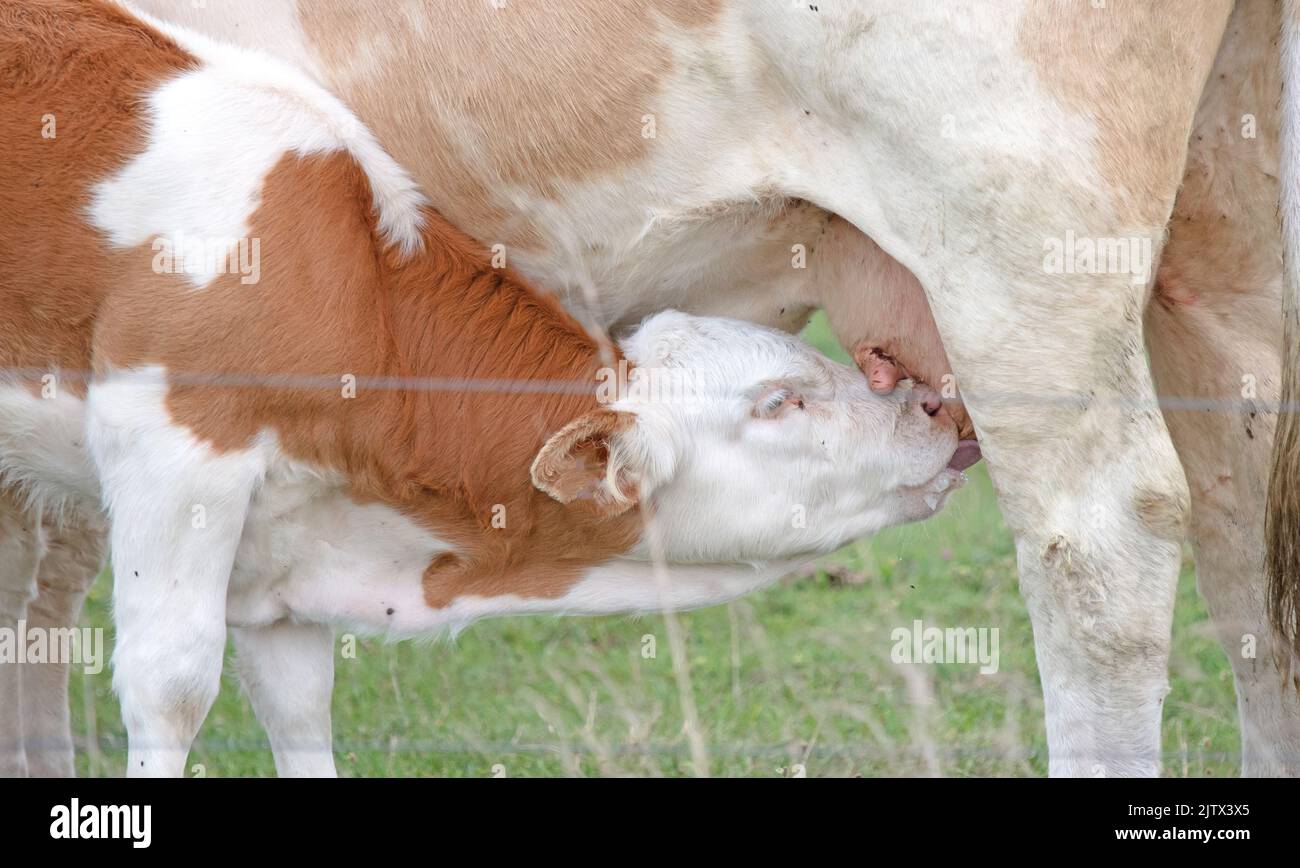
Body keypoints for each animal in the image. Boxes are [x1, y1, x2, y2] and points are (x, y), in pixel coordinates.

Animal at [0, 0, 976, 777]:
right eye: (778, 401)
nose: (932, 405)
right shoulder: (171, 453)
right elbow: (169, 686)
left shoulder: (282, 555)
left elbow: (298, 705)